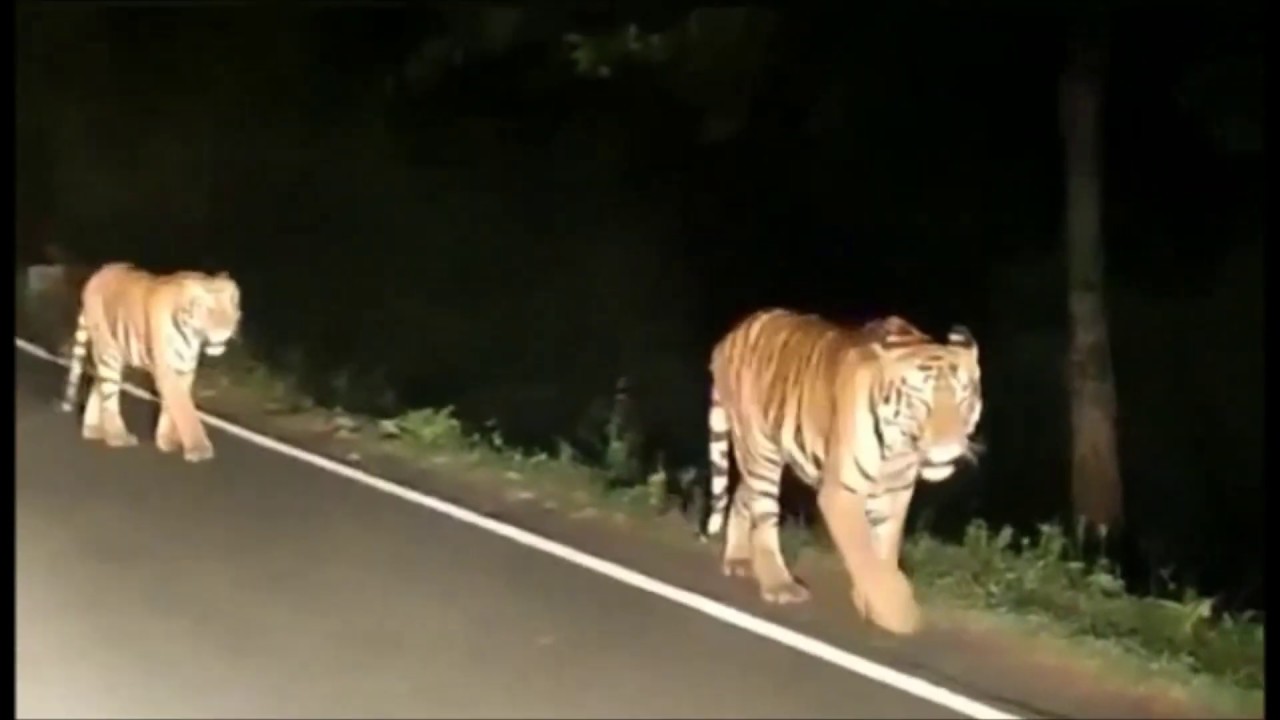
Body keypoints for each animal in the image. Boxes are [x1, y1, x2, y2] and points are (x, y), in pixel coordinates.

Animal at [59, 262, 243, 463]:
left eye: (232, 310)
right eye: (209, 311)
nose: (225, 331)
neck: (192, 336)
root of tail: (97, 274)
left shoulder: (185, 369)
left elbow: (172, 407)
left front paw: (166, 441)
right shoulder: (167, 369)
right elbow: (184, 409)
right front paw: (199, 448)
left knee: (97, 387)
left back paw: (93, 429)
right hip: (109, 354)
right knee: (109, 398)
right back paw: (117, 437)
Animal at [702, 308, 982, 635]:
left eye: (964, 397)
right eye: (918, 400)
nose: (947, 447)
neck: (898, 452)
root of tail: (733, 333)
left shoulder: (894, 495)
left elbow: (882, 552)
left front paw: (873, 602)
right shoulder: (842, 493)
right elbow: (863, 552)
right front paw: (896, 612)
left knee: (740, 494)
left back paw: (738, 559)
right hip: (760, 449)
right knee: (764, 516)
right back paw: (779, 585)